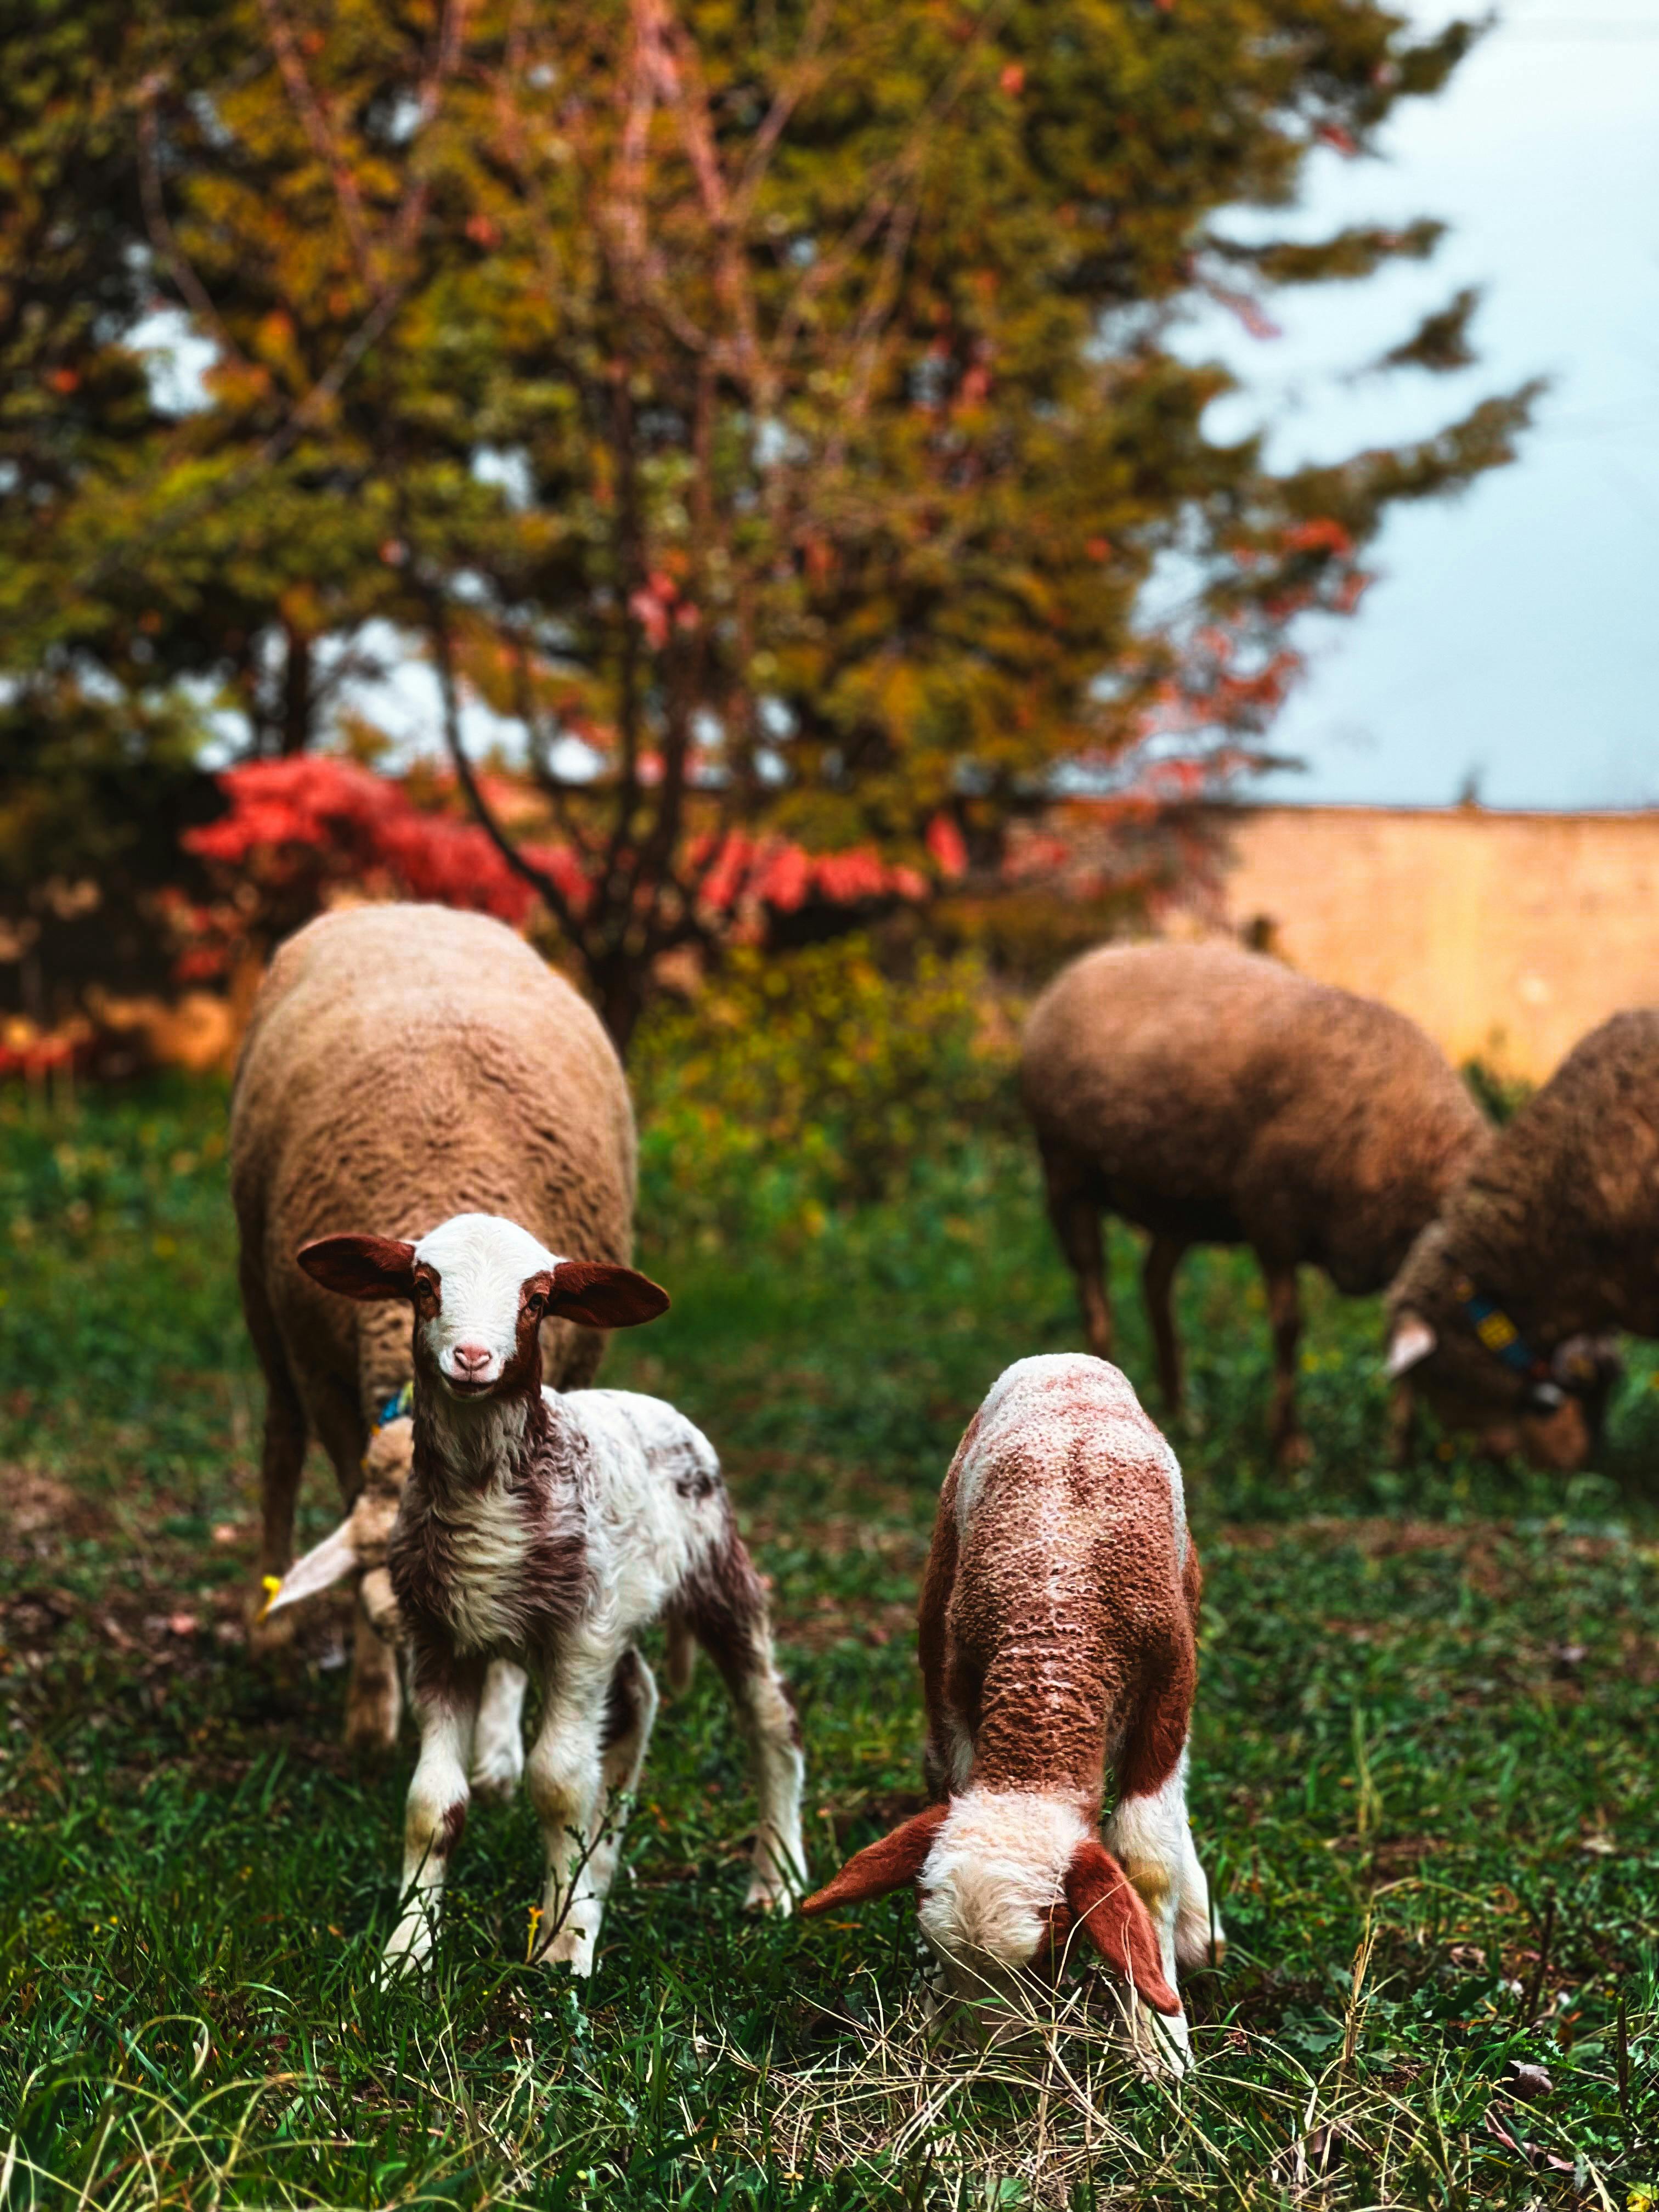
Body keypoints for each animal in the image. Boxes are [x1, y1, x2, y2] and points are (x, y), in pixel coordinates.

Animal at [230, 902, 640, 1758]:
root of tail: (407, 905)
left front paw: (499, 1742)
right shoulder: (327, 1379)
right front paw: (370, 1714)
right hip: (259, 1286)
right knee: (280, 1444)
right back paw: (269, 1631)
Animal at [269, 1210, 807, 1977]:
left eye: (538, 1301)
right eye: (423, 1285)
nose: (470, 1357)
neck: (484, 1492)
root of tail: (649, 1404)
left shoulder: (579, 1637)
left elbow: (558, 1786)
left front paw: (563, 1950)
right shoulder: (437, 1638)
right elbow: (432, 1805)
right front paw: (407, 1952)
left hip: (714, 1574)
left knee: (771, 1718)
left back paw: (775, 1882)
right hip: (613, 1608)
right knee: (637, 1704)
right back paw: (596, 1877)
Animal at [802, 1353, 1220, 2071]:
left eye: (1053, 1952)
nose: (988, 2064)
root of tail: (1066, 1359)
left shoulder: (1170, 1681)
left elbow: (1146, 1858)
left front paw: (1158, 2043)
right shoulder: (961, 1674)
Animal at [1020, 942, 1490, 1464]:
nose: (1503, 1462)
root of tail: (1087, 963)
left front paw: (1398, 1451)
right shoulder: (1273, 1219)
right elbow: (1288, 1329)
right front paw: (1289, 1448)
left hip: (1178, 1203)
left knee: (1154, 1281)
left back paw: (1178, 1412)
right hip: (1066, 1168)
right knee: (1092, 1285)